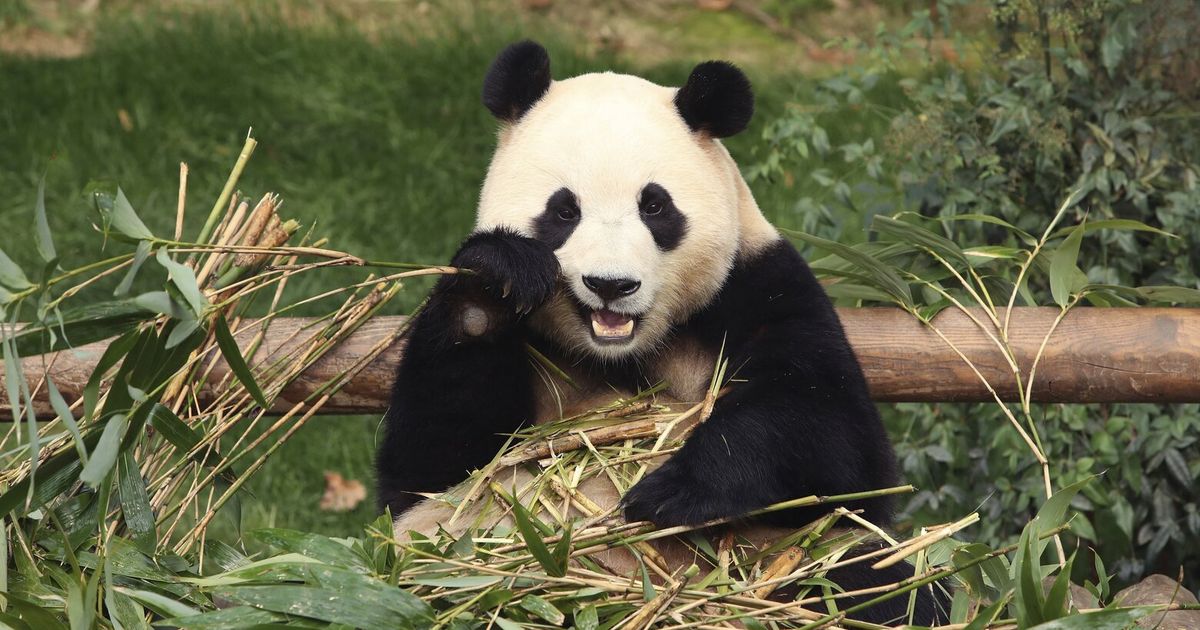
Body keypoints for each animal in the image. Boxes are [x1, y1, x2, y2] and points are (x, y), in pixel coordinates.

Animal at [376, 41, 946, 625]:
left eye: (654, 206)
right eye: (564, 210)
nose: (610, 284)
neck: (623, 352)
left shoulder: (759, 288)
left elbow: (834, 437)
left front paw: (671, 490)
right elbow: (431, 465)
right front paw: (496, 279)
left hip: (793, 560)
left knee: (880, 586)